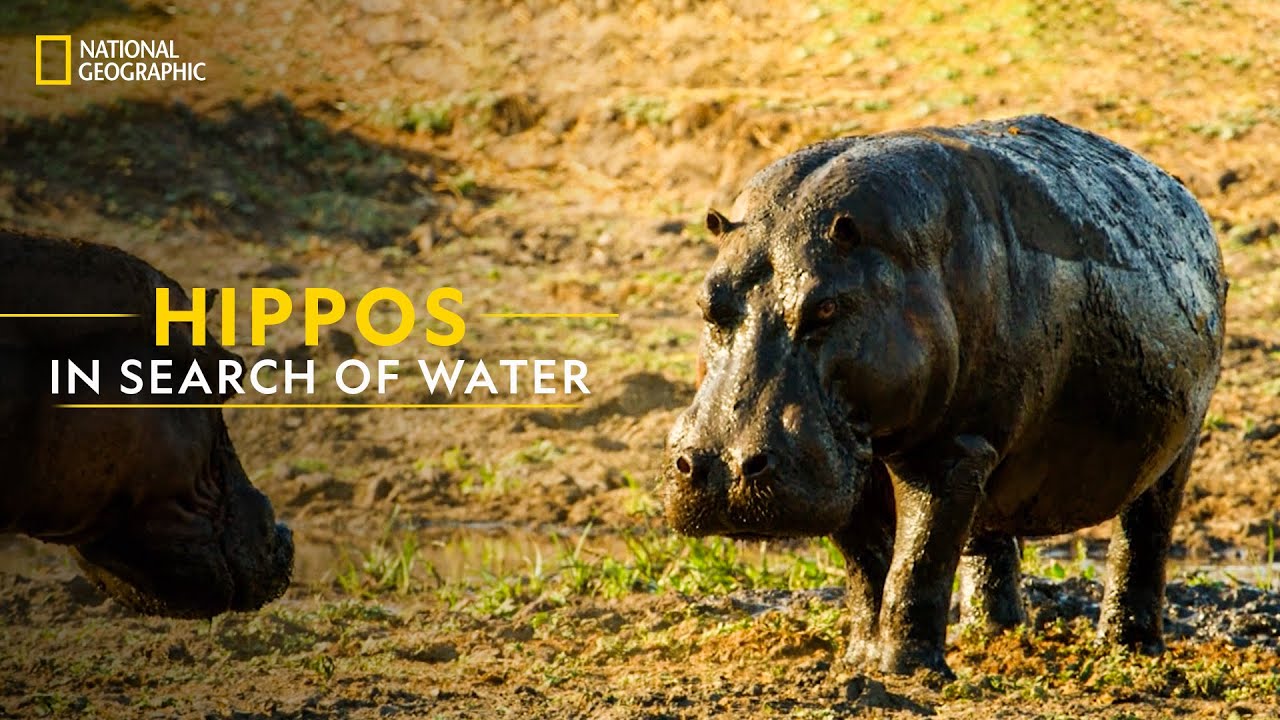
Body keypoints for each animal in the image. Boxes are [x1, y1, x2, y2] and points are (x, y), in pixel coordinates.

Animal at [663, 115, 1225, 676]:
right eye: (707, 301)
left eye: (825, 307)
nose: (722, 469)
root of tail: (1186, 199)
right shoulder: (853, 462)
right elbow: (868, 566)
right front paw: (859, 660)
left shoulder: (947, 450)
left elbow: (918, 561)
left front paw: (907, 670)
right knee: (989, 540)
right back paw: (994, 634)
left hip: (1177, 446)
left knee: (1143, 537)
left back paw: (1129, 646)